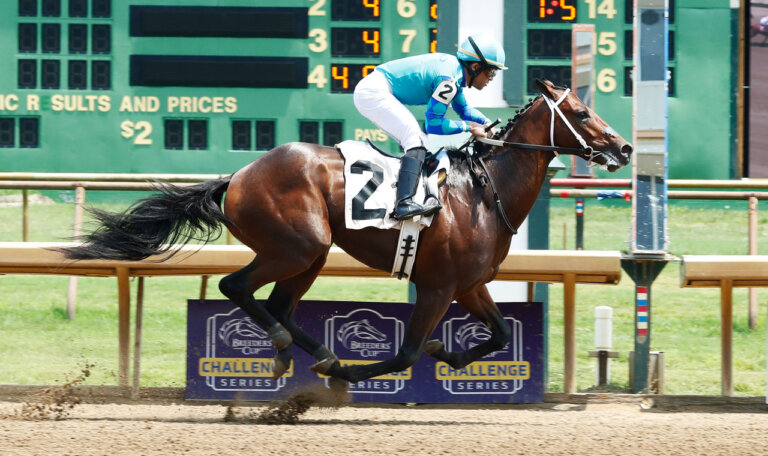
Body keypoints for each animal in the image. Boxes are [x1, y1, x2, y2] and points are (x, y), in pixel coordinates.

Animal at [58, 79, 632, 388]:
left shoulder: (470, 284)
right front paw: (359, 373)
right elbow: (406, 353)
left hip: (308, 255)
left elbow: (500, 335)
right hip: (299, 245)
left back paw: (317, 353)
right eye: (582, 112)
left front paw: (446, 354)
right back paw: (293, 351)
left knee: (278, 304)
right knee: (235, 287)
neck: (482, 193)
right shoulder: (438, 285)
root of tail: (237, 176)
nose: (624, 148)